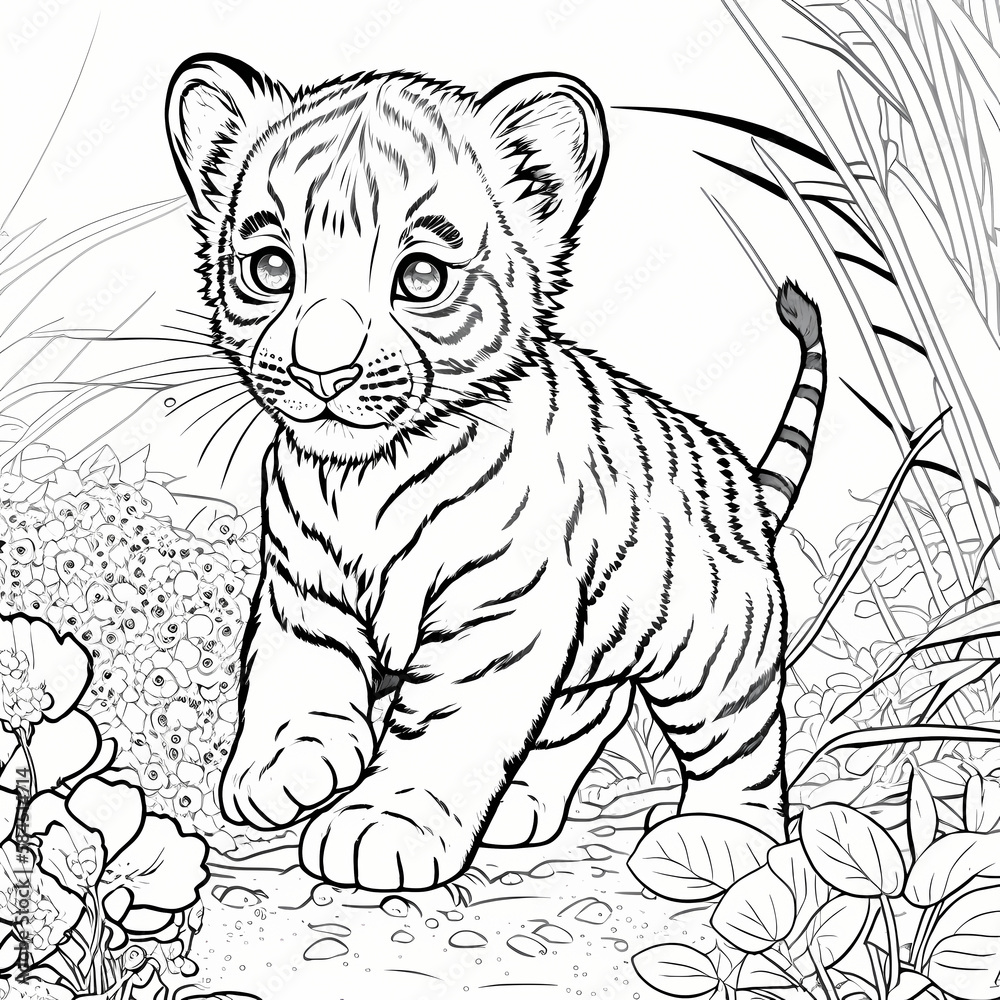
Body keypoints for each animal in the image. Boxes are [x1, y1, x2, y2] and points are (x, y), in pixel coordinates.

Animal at [165, 54, 826, 892]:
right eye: (272, 267)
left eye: (420, 276)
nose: (322, 373)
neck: (364, 478)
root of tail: (740, 480)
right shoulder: (303, 587)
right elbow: (297, 678)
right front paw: (283, 769)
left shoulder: (499, 609)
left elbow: (446, 727)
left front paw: (382, 828)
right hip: (595, 660)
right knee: (581, 719)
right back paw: (520, 810)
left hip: (714, 646)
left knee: (741, 746)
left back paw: (715, 841)